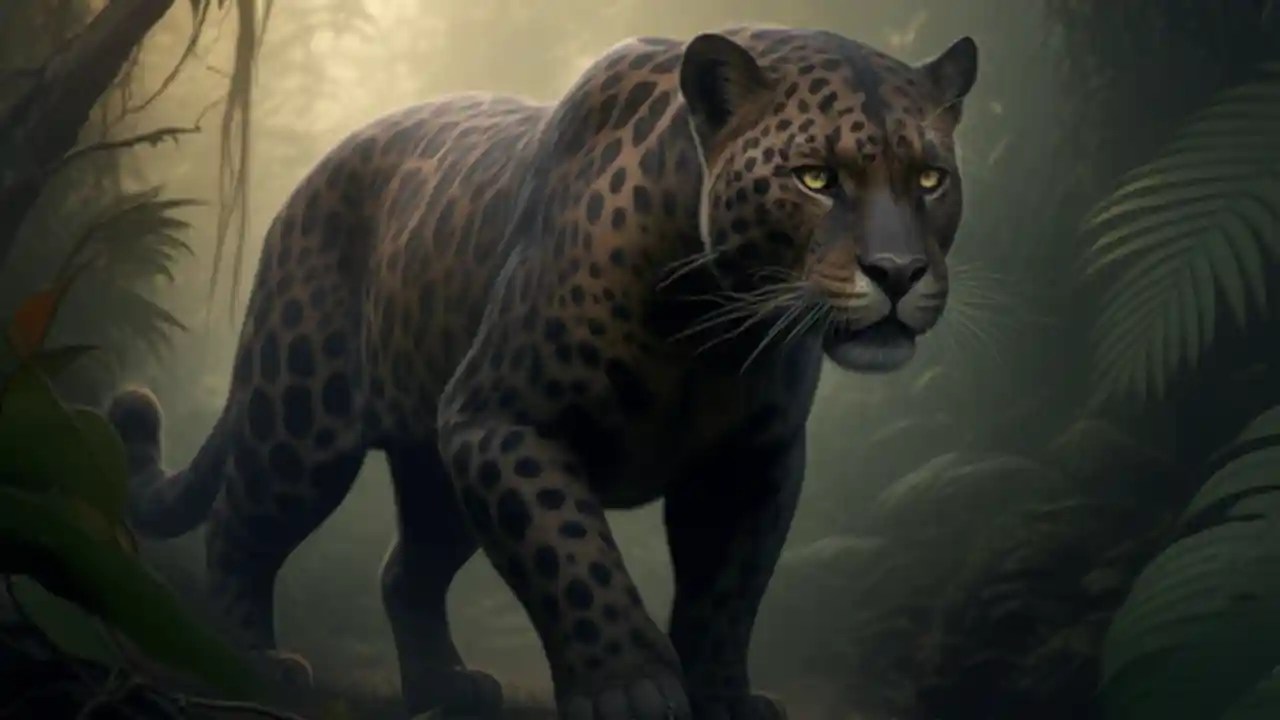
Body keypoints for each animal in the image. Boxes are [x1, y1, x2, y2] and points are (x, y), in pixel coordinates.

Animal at [107, 25, 978, 720]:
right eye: (816, 177)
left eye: (930, 179)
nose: (897, 272)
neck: (715, 329)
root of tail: (301, 191)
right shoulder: (501, 420)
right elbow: (572, 553)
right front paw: (630, 691)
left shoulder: (754, 459)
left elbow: (725, 594)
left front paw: (723, 697)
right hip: (300, 419)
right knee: (241, 524)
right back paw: (245, 659)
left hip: (433, 468)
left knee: (404, 572)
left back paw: (445, 687)